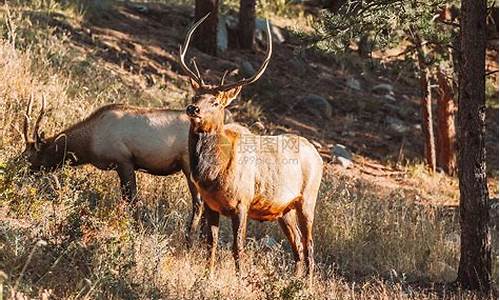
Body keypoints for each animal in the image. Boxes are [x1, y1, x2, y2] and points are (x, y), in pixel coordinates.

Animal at [21, 96, 205, 244]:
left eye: (30, 157)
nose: (20, 172)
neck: (88, 144)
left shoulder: (124, 162)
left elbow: (132, 199)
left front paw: (135, 230)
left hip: (189, 167)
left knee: (198, 203)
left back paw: (189, 241)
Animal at [180, 14, 324, 286]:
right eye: (195, 95)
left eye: (215, 102)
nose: (193, 109)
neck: (212, 174)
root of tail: (318, 155)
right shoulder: (211, 205)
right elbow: (211, 243)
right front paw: (207, 276)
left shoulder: (242, 202)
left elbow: (238, 246)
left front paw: (239, 280)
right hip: (284, 210)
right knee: (298, 245)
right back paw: (294, 281)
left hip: (308, 199)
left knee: (310, 244)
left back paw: (308, 285)